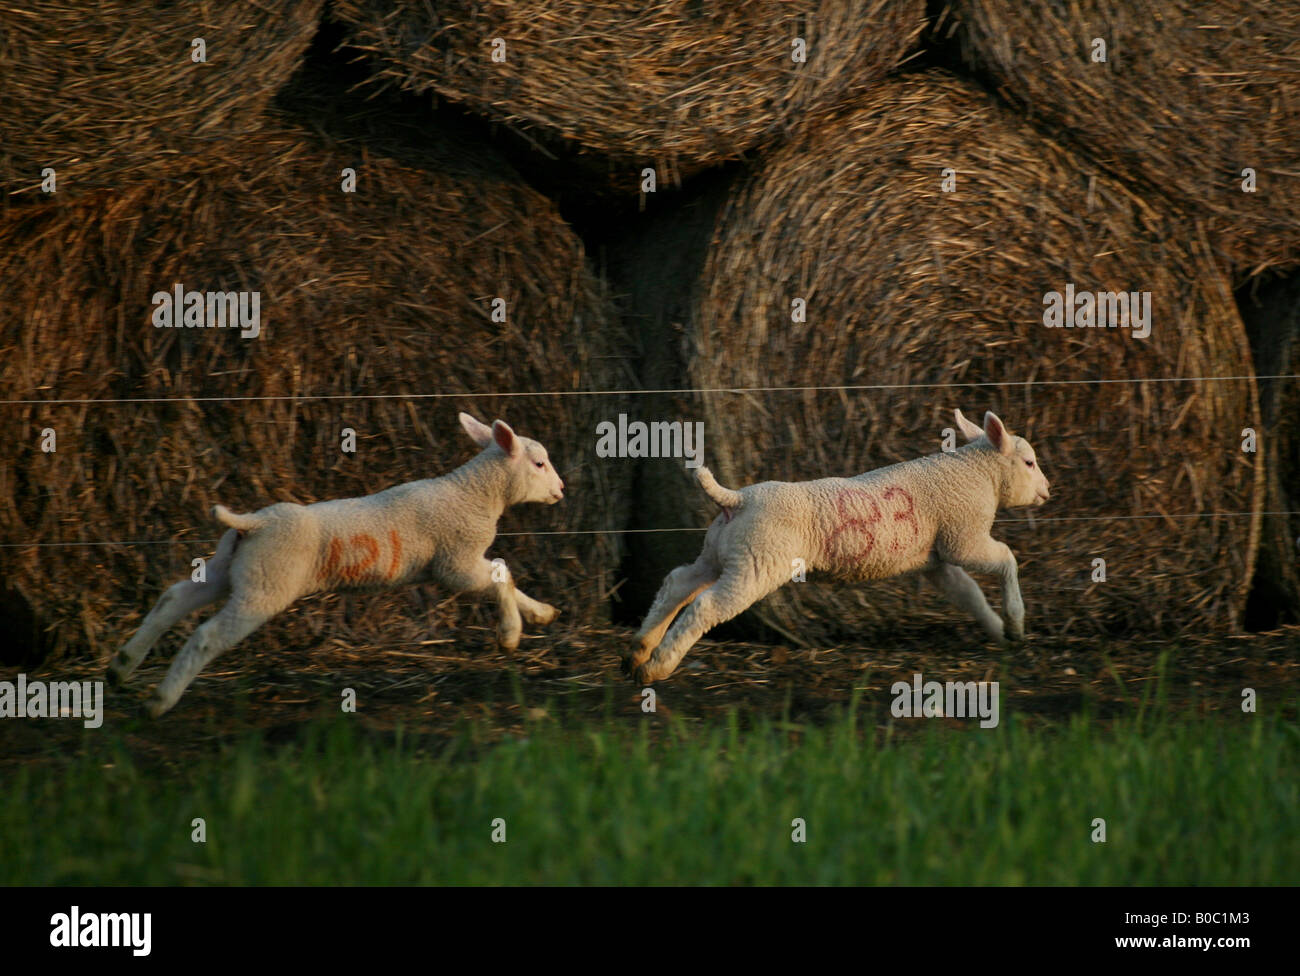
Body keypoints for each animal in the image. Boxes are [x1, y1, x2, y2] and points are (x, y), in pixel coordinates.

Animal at [109, 412, 565, 717]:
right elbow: (502, 574)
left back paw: (122, 665)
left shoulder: (464, 558)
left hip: (229, 568)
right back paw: (160, 700)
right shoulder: (455, 561)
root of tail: (254, 522)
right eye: (539, 464)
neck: (473, 493)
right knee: (207, 635)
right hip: (266, 584)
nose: (561, 490)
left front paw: (541, 613)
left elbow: (508, 578)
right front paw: (510, 634)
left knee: (174, 599)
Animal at [625, 409, 1050, 684]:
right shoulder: (964, 537)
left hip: (720, 553)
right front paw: (1016, 620)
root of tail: (737, 498)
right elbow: (1007, 560)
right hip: (756, 563)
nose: (1048, 491)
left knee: (677, 583)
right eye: (1029, 463)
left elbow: (968, 594)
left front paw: (998, 630)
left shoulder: (936, 558)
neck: (978, 473)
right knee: (705, 605)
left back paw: (639, 653)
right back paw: (657, 668)